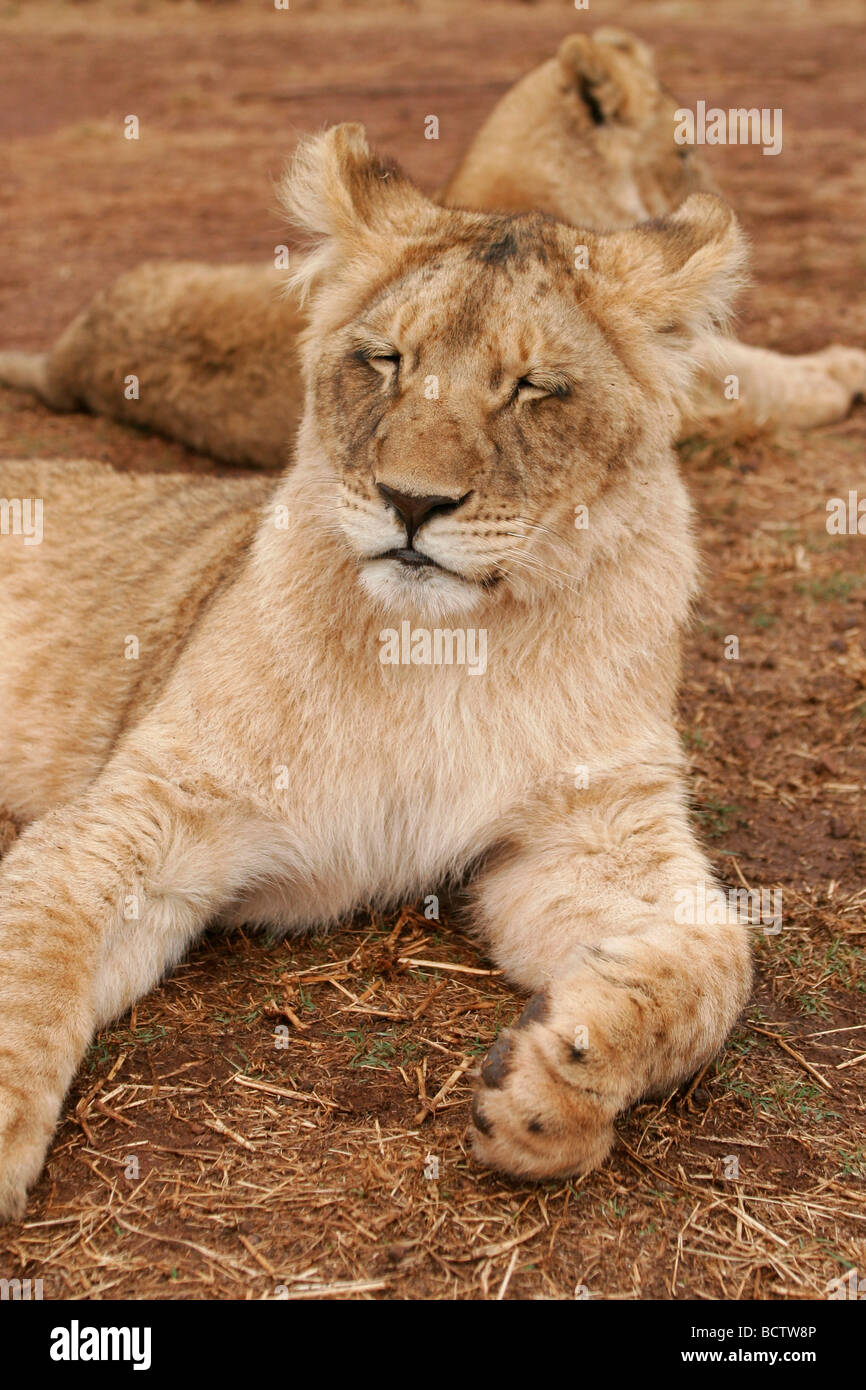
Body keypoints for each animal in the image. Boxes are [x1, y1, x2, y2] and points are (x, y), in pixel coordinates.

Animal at [0, 124, 753, 1217]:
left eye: (530, 387)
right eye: (385, 360)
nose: (411, 501)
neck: (442, 650)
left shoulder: (590, 830)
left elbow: (718, 963)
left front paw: (557, 1087)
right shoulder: (150, 811)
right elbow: (33, 958)